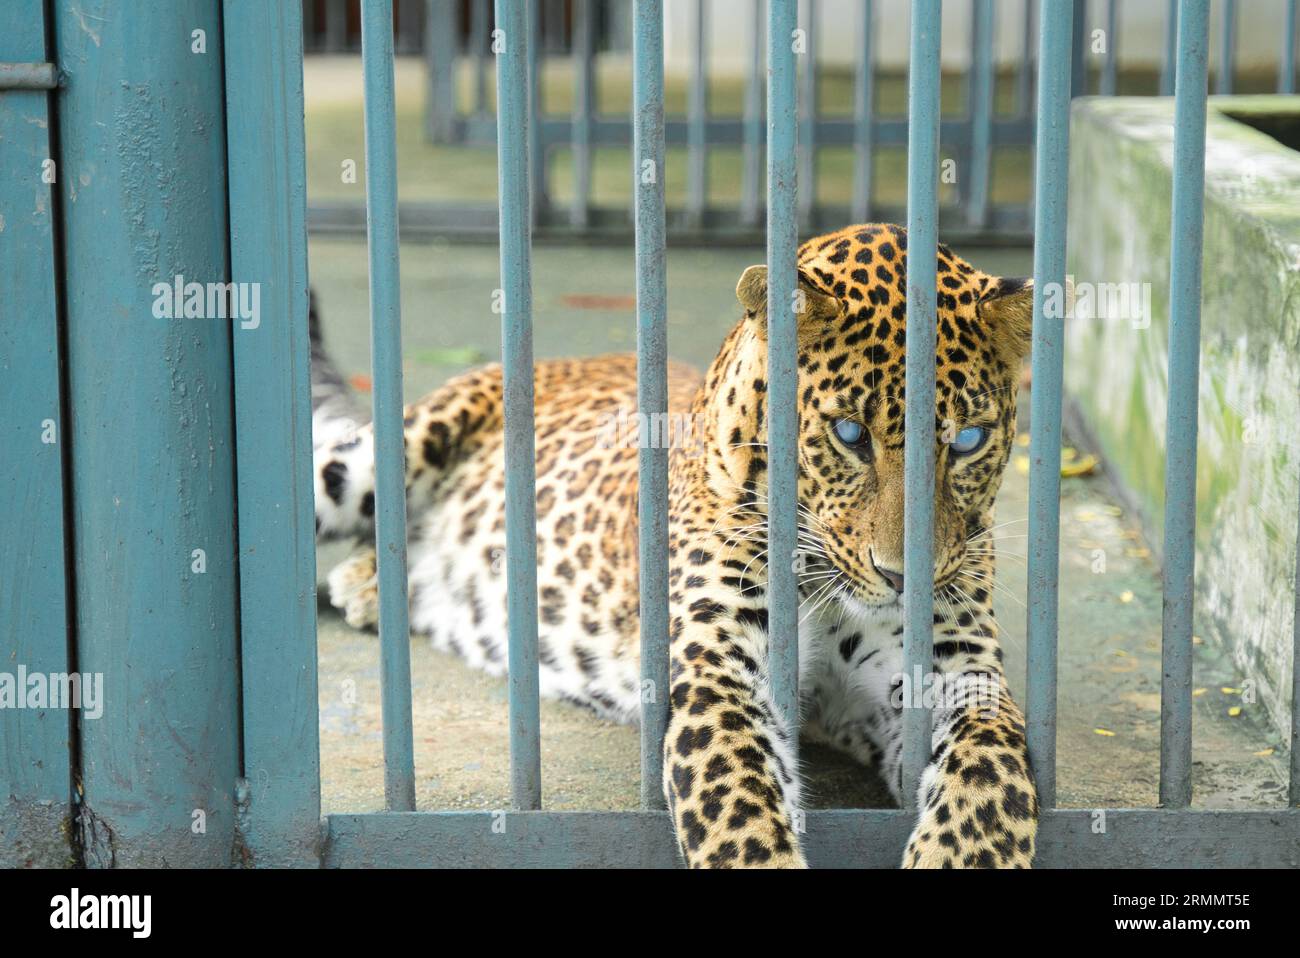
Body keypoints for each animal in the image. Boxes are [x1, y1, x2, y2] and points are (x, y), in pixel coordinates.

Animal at [312, 223, 1040, 868]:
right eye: (849, 434)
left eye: (968, 440)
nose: (903, 580)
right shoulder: (719, 675)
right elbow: (740, 816)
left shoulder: (959, 676)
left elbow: (991, 782)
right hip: (374, 459)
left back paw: (373, 585)